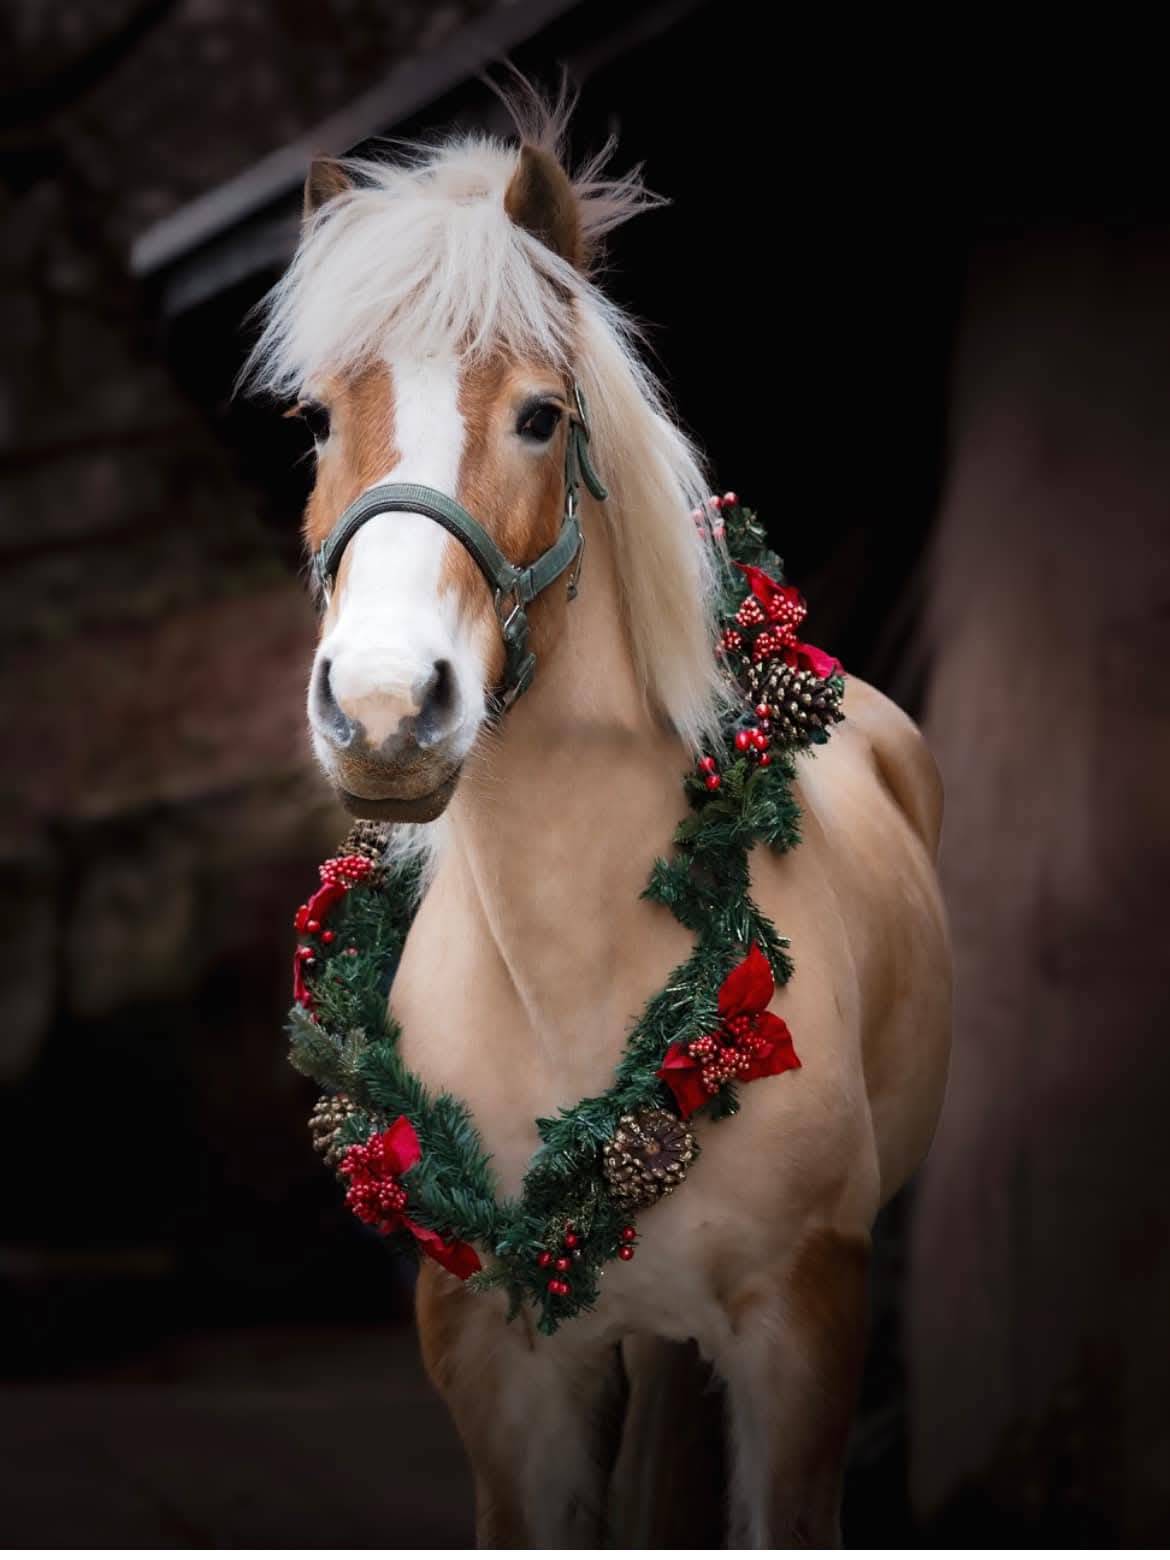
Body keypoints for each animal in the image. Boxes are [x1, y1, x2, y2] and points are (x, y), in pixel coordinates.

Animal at [247, 99, 951, 1548]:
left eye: (539, 415)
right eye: (315, 418)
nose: (384, 711)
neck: (573, 985)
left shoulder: (802, 1332)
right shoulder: (501, 1366)